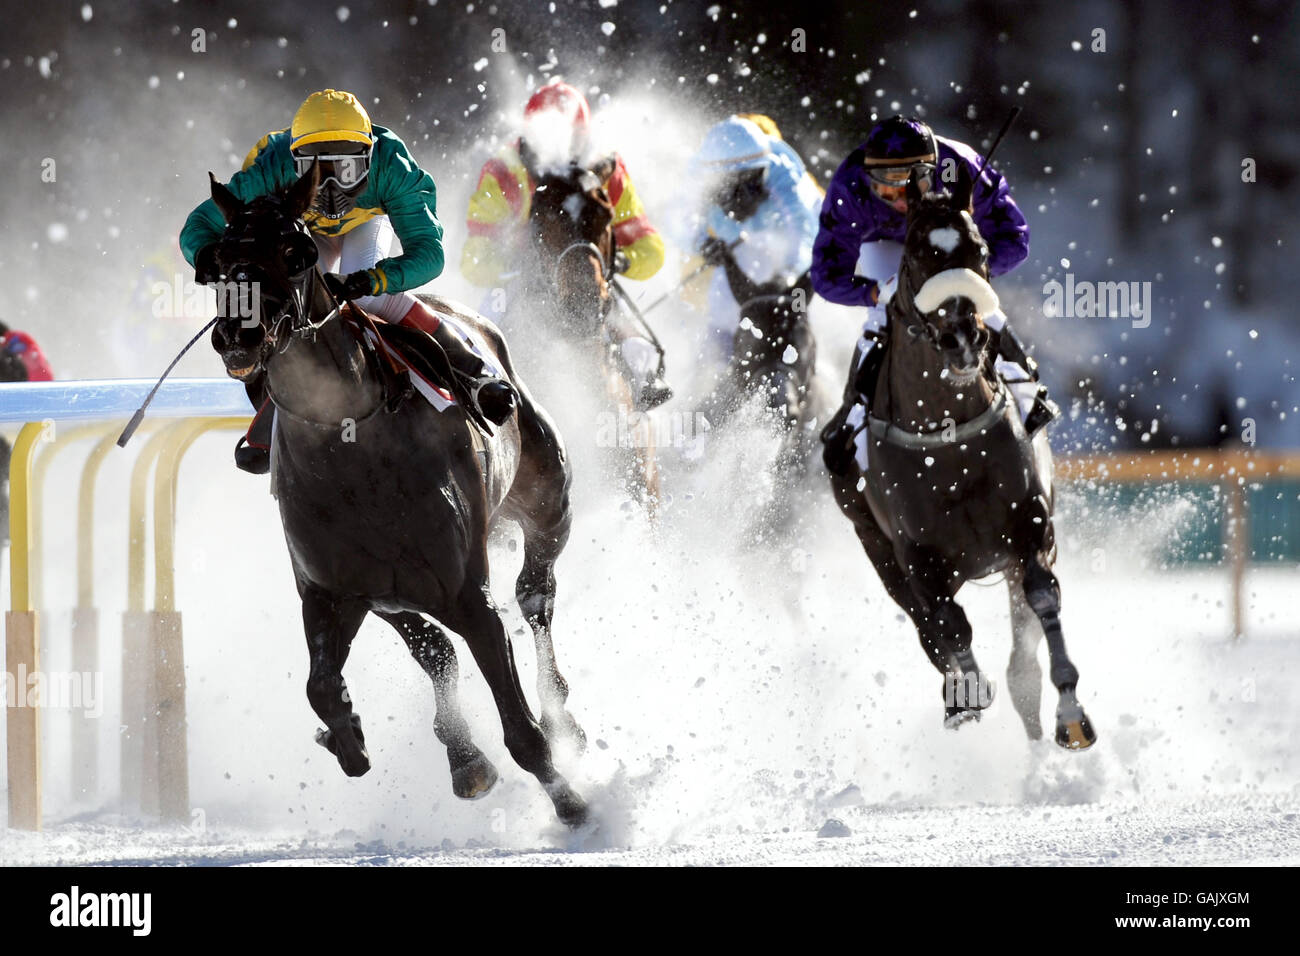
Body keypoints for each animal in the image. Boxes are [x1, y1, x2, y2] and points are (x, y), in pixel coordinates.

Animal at [205, 164, 589, 827]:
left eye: (293, 253)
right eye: (222, 257)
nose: (239, 333)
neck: (353, 453)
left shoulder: (469, 595)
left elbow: (520, 726)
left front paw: (570, 802)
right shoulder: (332, 592)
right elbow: (322, 686)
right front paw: (348, 738)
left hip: (549, 503)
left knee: (535, 596)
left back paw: (560, 713)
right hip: (391, 598)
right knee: (434, 650)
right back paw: (463, 758)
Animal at [829, 165, 1096, 750]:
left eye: (980, 250)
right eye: (913, 254)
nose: (961, 337)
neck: (949, 443)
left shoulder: (1030, 530)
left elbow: (1043, 601)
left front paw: (1071, 714)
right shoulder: (916, 557)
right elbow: (949, 627)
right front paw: (966, 698)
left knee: (1020, 662)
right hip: (875, 547)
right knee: (929, 628)